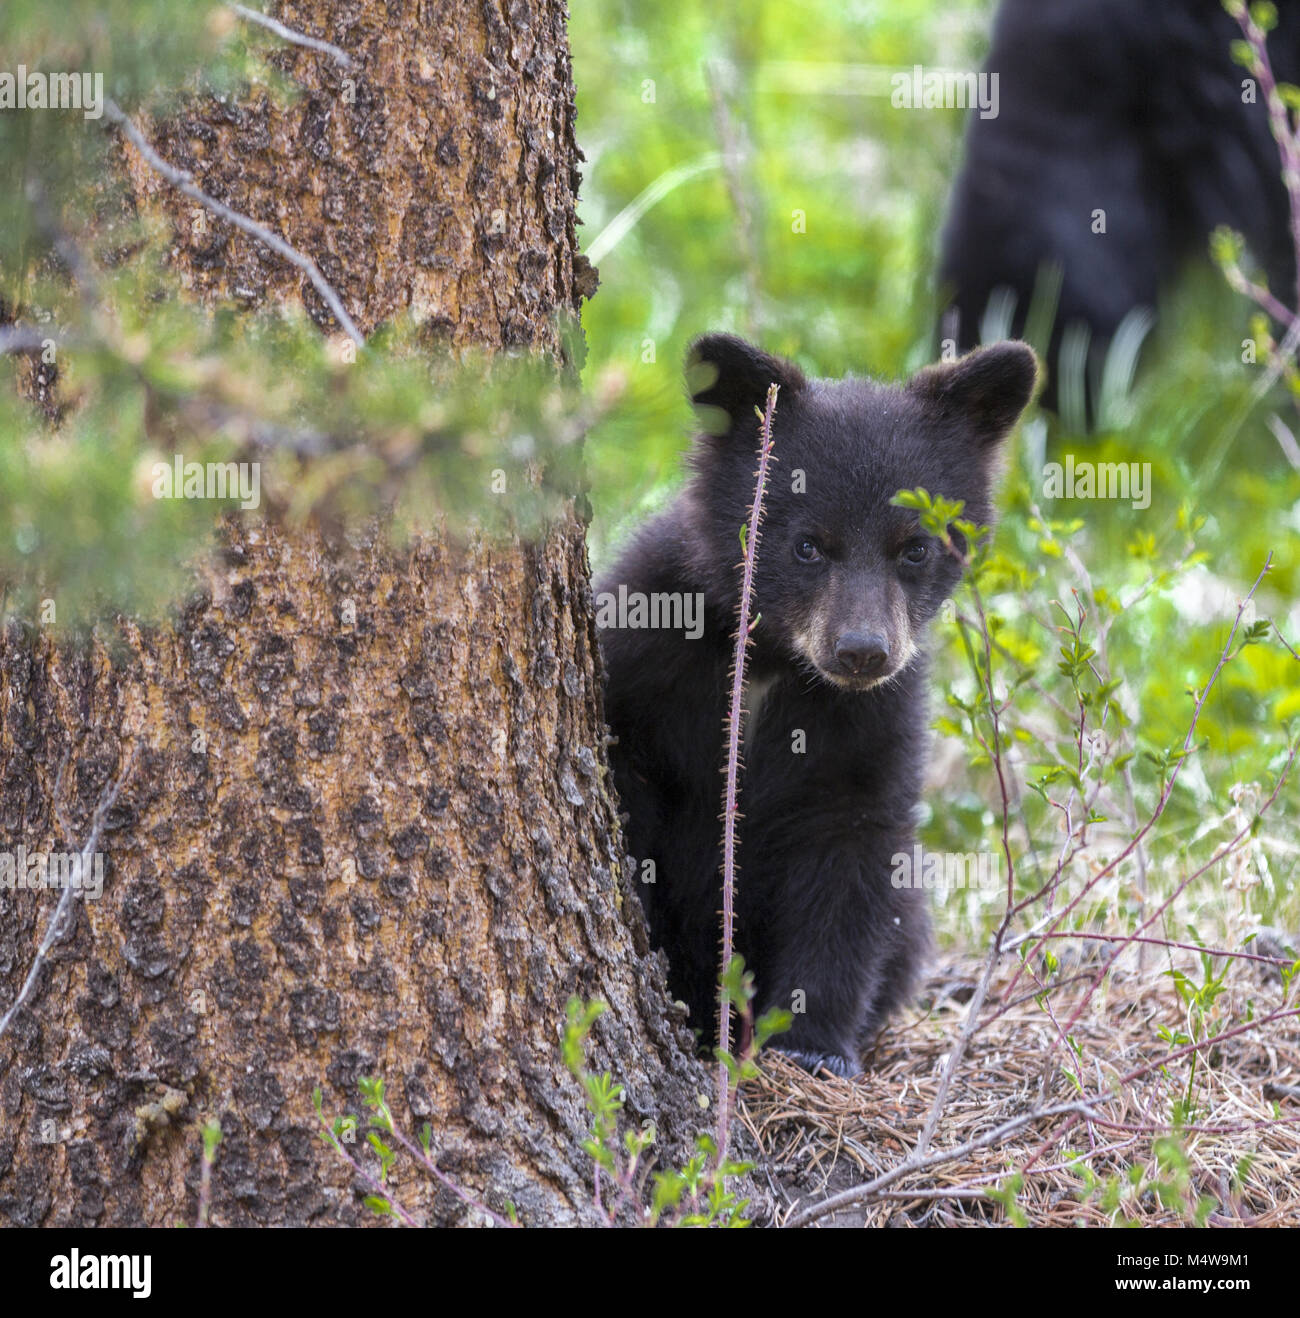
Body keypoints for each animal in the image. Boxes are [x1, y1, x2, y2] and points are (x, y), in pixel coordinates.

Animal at [597, 333, 1039, 1077]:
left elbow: (850, 857)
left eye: (915, 548)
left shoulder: (872, 722)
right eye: (808, 545)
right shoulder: (642, 660)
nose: (862, 651)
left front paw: (811, 1044)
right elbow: (635, 815)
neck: (774, 661)